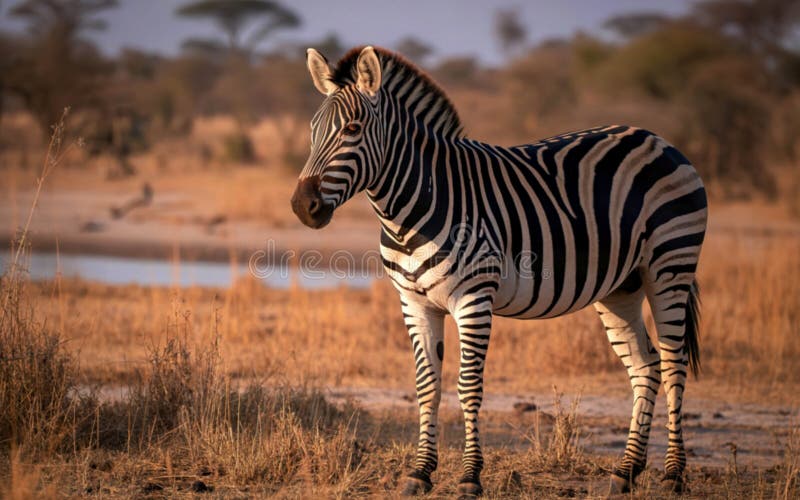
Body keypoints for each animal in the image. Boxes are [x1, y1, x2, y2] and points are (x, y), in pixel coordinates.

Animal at [291, 46, 707, 498]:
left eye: (352, 128)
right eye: (313, 130)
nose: (302, 206)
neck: (411, 208)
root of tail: (658, 139)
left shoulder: (474, 299)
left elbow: (468, 387)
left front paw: (470, 477)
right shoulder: (414, 303)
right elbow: (427, 387)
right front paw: (419, 473)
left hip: (670, 266)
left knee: (673, 364)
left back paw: (673, 475)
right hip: (621, 286)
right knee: (645, 366)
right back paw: (625, 472)